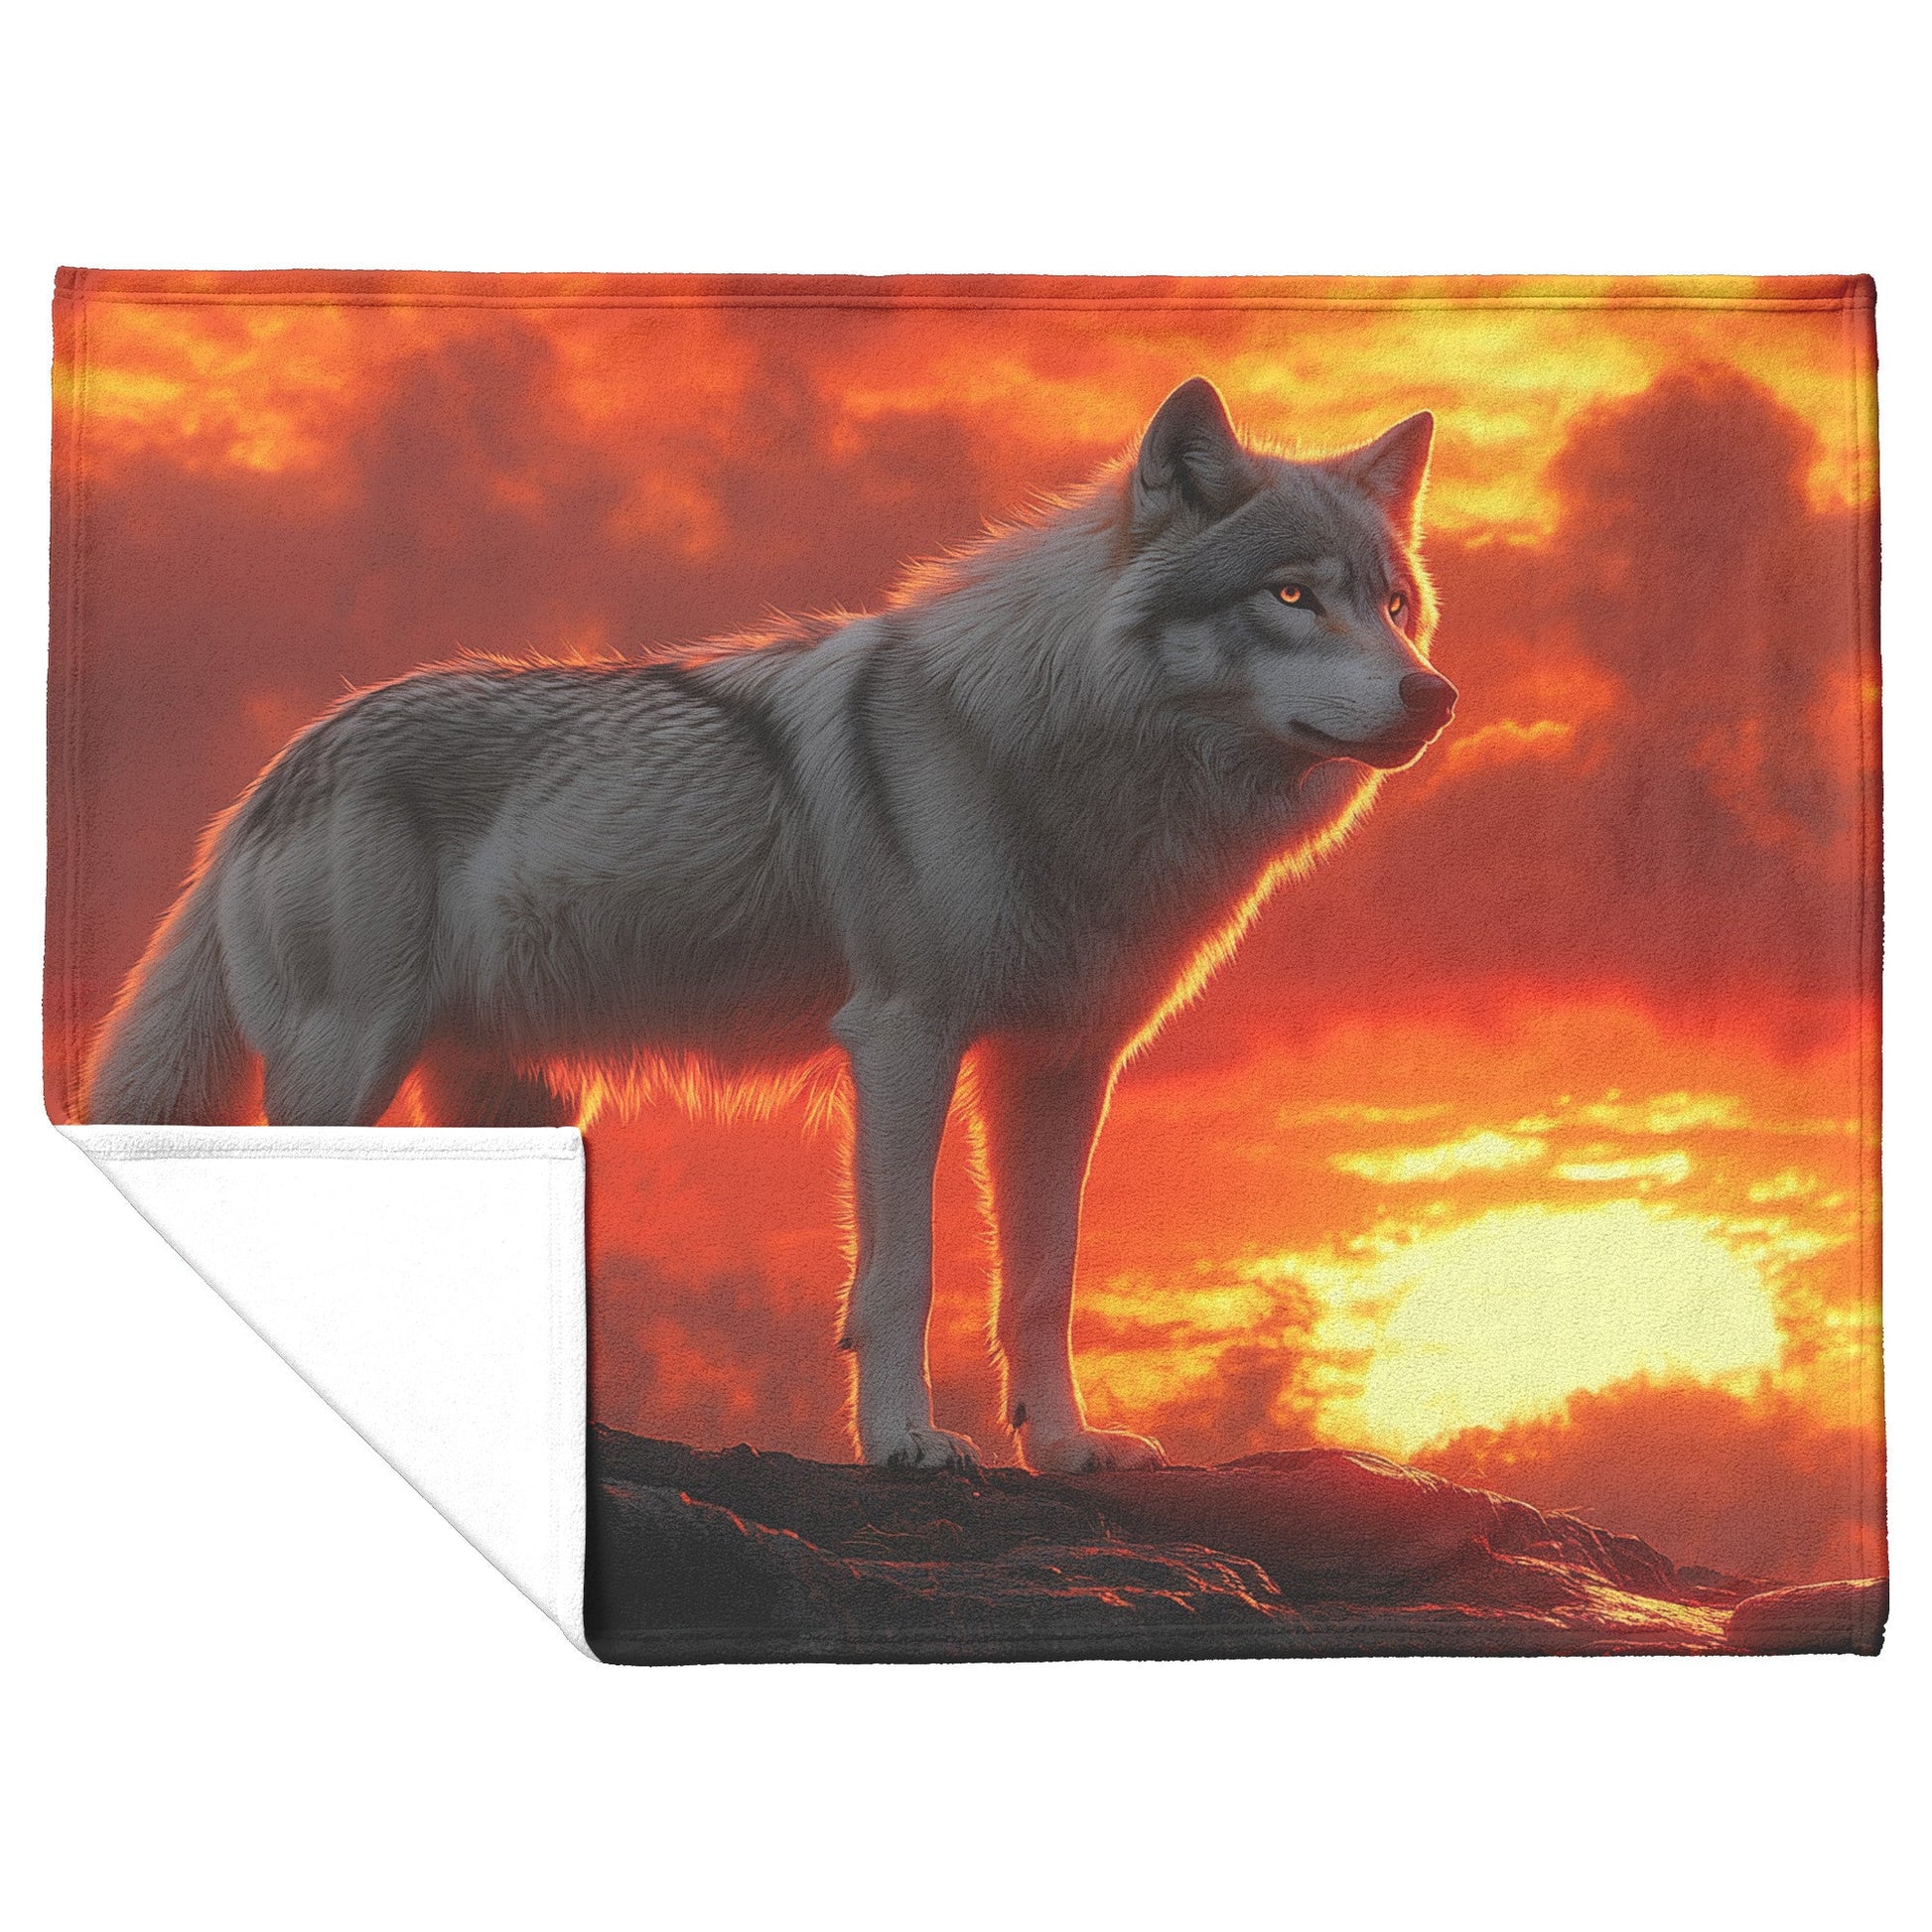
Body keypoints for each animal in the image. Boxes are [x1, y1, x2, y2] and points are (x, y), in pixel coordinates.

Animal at [84, 377, 1454, 1473]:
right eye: (1290, 594)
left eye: (1392, 604)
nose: (1433, 694)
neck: (1050, 749)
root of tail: (272, 772)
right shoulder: (902, 1040)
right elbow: (901, 1273)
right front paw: (904, 1443)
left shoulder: (1059, 1065)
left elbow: (1043, 1280)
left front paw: (1066, 1450)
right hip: (351, 1067)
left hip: (516, 1103)